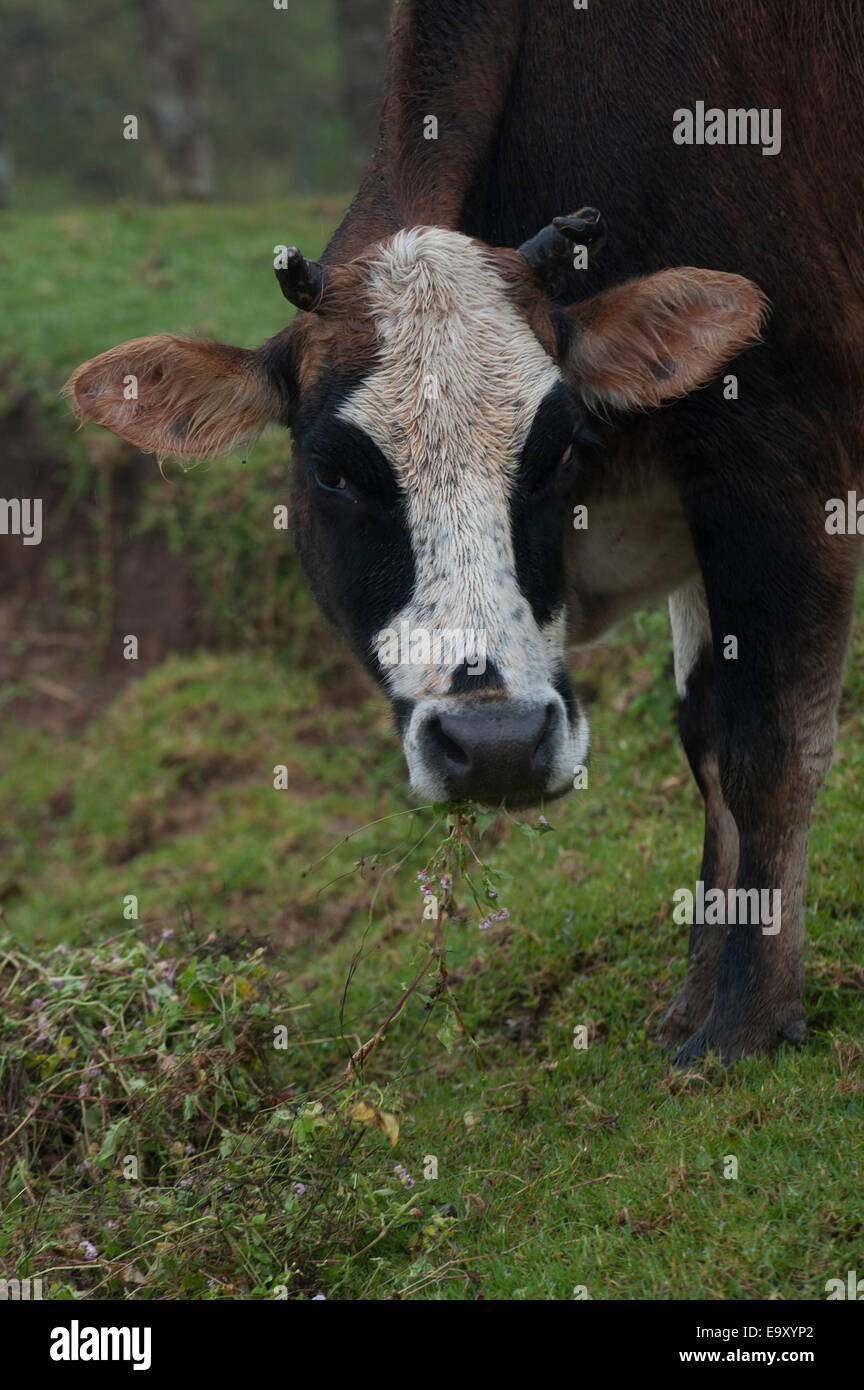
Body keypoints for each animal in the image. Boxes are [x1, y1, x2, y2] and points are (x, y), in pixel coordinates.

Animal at [66, 0, 864, 1064]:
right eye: (332, 469)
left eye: (562, 445)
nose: (494, 746)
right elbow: (702, 733)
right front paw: (696, 997)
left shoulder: (784, 453)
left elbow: (764, 742)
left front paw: (743, 1022)